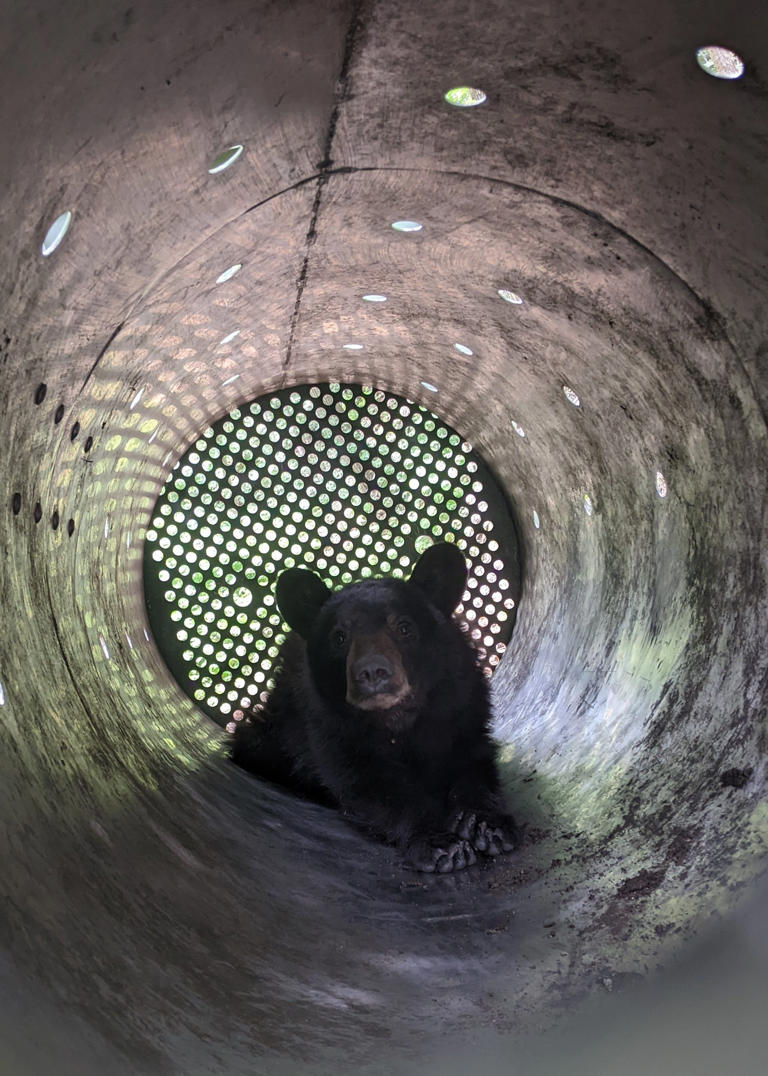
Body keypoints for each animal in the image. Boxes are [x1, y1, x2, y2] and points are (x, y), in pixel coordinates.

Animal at [230, 543, 518, 873]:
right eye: (339, 637)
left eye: (404, 627)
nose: (371, 672)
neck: (396, 719)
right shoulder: (329, 730)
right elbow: (373, 789)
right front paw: (441, 845)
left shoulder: (463, 705)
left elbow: (474, 760)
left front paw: (487, 824)